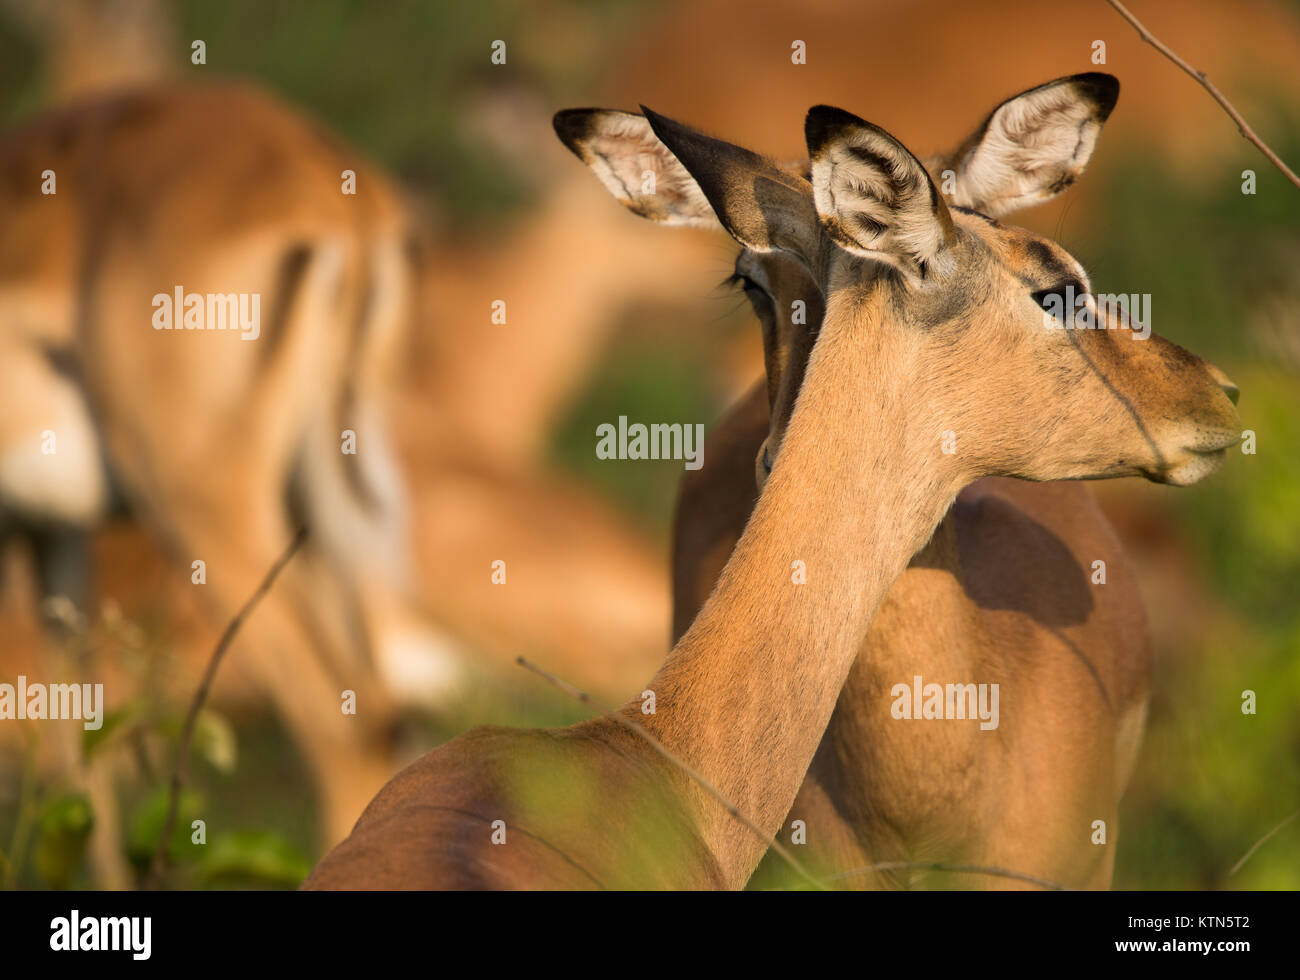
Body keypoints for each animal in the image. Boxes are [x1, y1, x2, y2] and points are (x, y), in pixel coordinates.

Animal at [0, 82, 452, 845]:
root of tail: (328, 181)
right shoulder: (53, 532)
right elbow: (80, 750)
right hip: (311, 509)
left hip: (200, 504)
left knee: (346, 723)